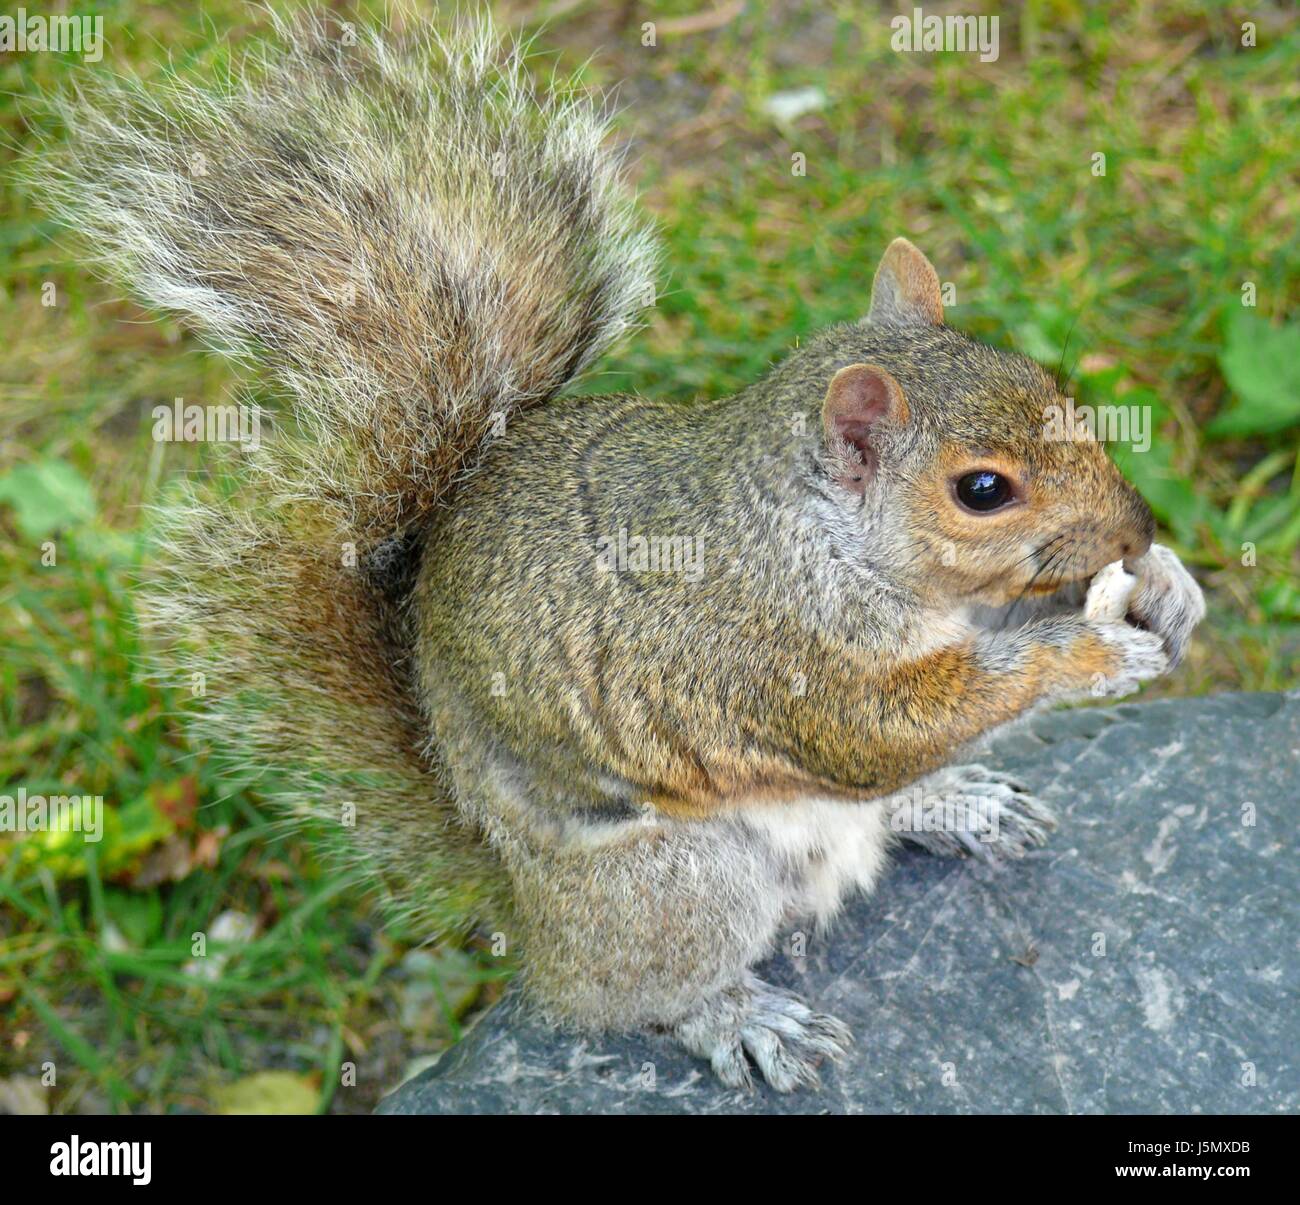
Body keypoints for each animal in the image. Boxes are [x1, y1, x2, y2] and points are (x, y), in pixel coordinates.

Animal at [36, 14, 1205, 1092]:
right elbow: (884, 727)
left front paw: (1168, 588)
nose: (1139, 525)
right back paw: (738, 1014)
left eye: (1049, 382)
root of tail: (530, 921)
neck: (820, 541)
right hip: (677, 881)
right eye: (982, 489)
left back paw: (956, 801)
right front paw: (1089, 654)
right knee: (630, 993)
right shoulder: (768, 664)